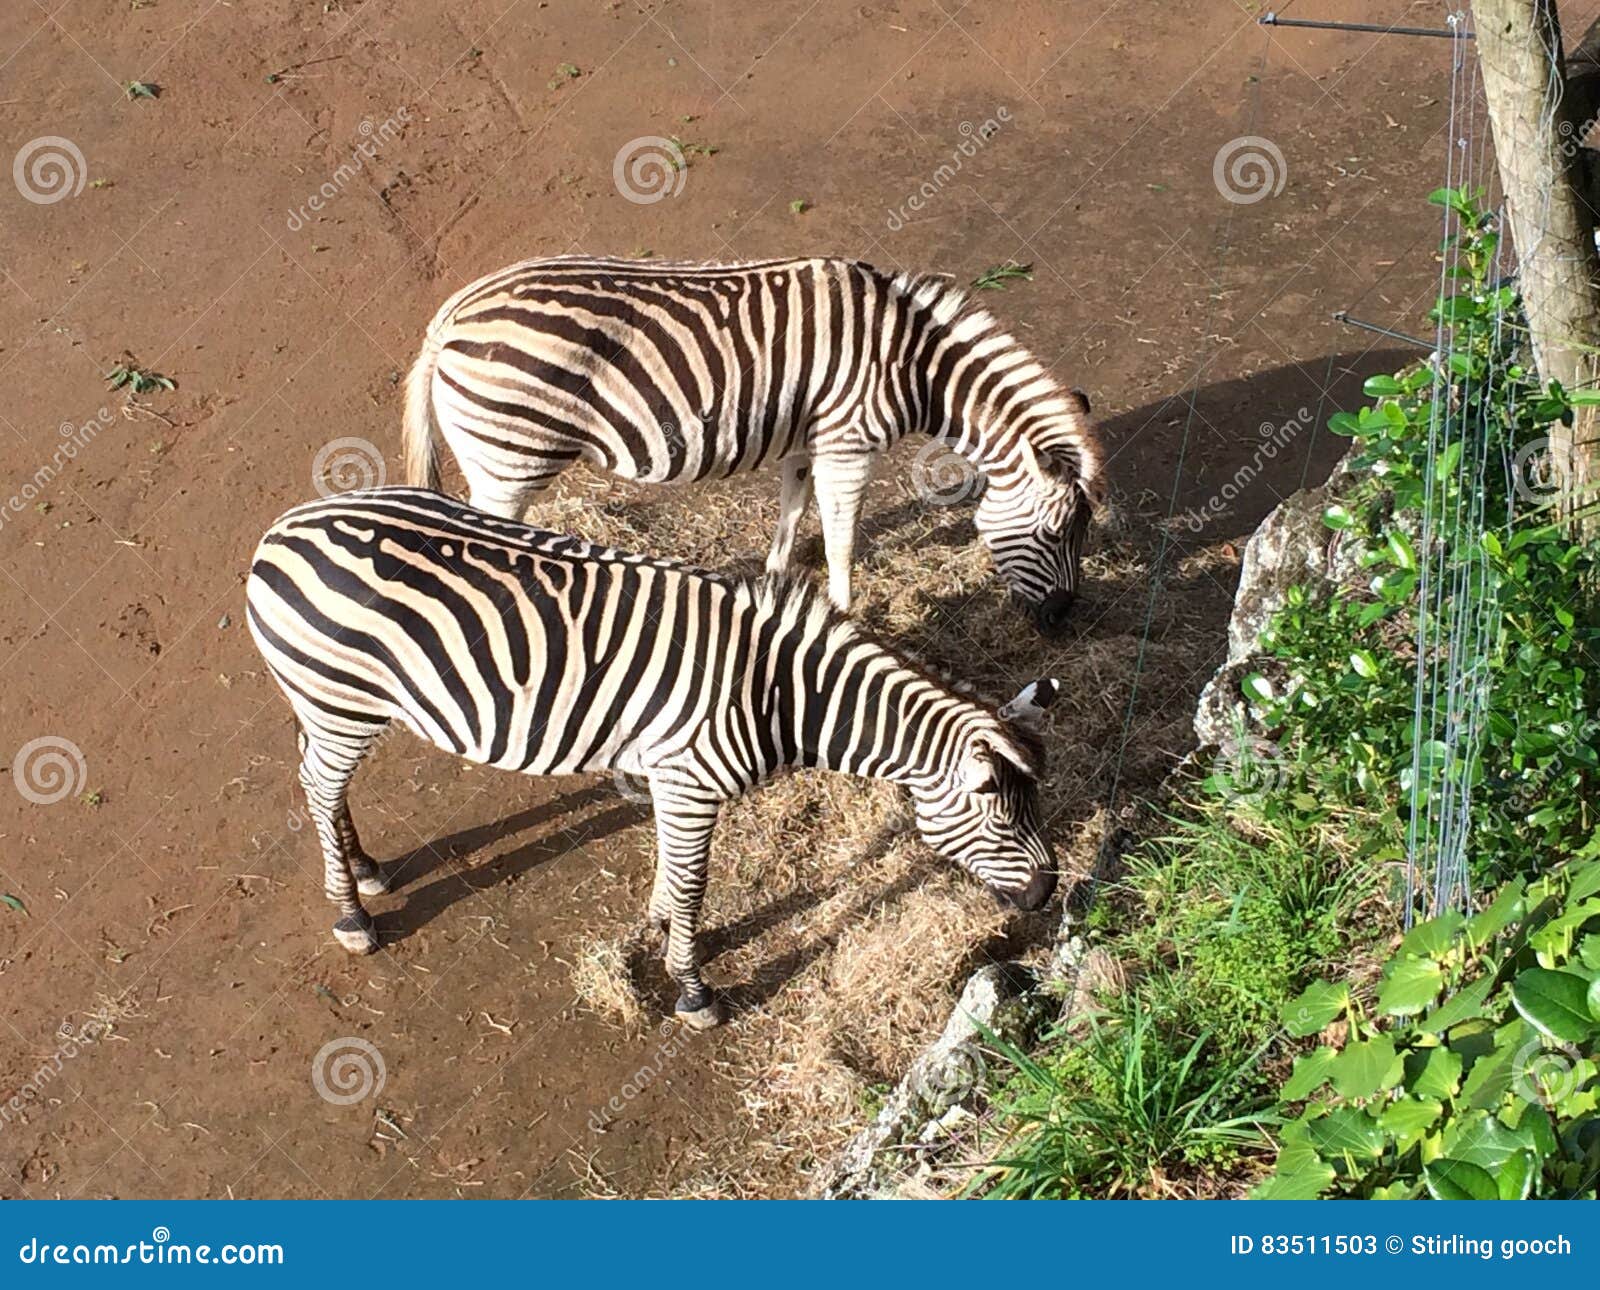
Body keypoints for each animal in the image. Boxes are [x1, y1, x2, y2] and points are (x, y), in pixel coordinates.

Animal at [246, 487, 1060, 1028]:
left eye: (1039, 806)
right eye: (1001, 820)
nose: (1049, 895)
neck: (778, 688)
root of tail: (281, 531)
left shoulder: (672, 779)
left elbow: (673, 869)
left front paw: (663, 928)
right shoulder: (690, 781)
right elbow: (696, 882)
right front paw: (693, 989)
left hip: (336, 704)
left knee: (323, 780)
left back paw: (364, 867)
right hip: (341, 700)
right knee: (317, 784)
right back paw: (351, 914)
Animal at [401, 255, 1104, 634]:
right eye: (1057, 532)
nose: (1064, 618)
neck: (912, 361)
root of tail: (451, 316)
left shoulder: (806, 434)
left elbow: (795, 507)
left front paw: (776, 579)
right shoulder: (848, 440)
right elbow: (843, 533)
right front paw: (847, 611)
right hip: (511, 458)